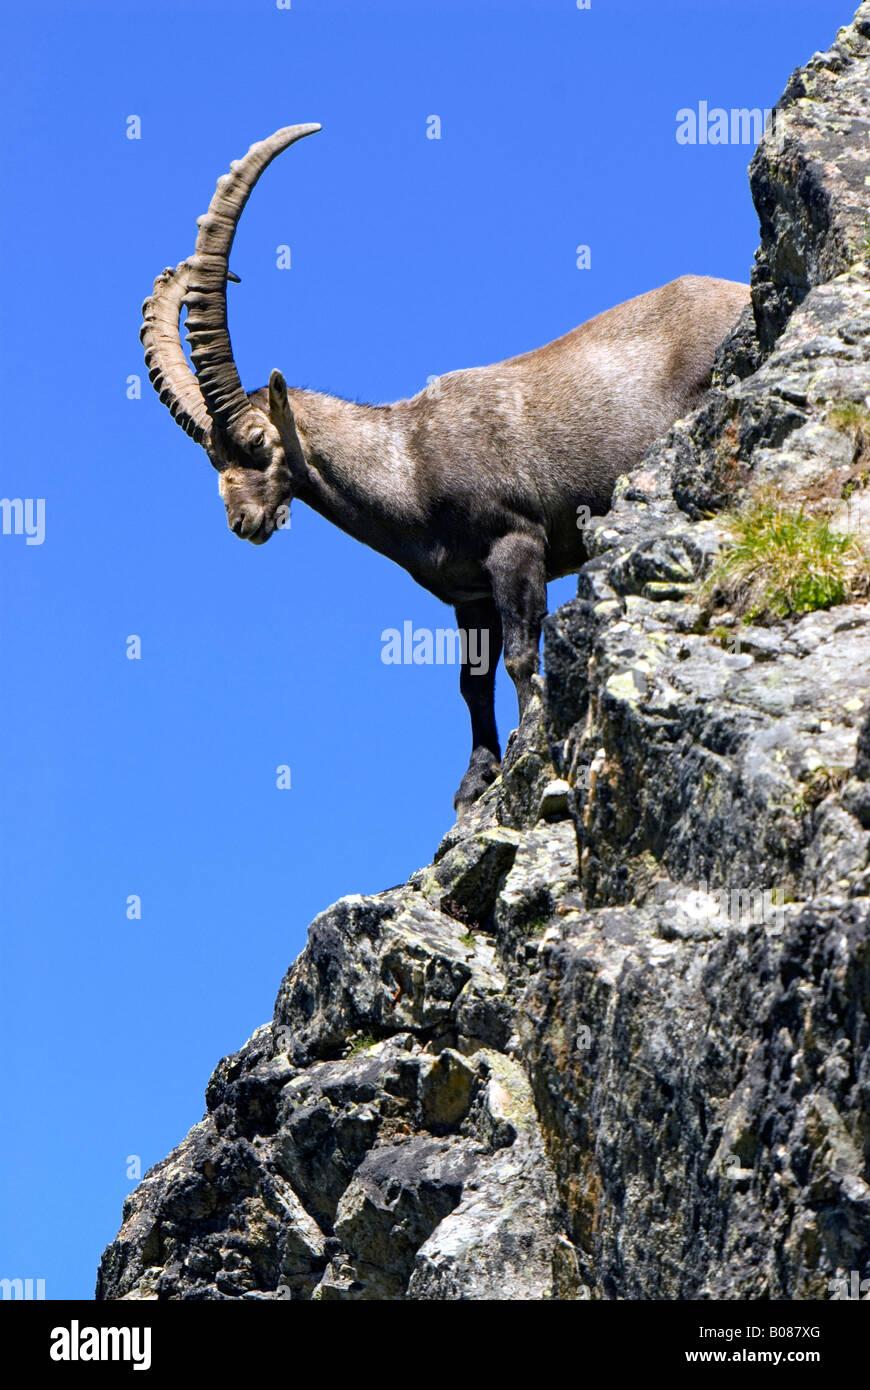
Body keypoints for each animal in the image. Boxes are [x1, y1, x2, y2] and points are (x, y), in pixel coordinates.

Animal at [142, 124, 750, 812]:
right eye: (211, 458)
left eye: (255, 442)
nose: (243, 522)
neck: (408, 464)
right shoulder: (469, 592)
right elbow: (472, 682)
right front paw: (474, 783)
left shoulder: (517, 545)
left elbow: (520, 657)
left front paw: (531, 754)